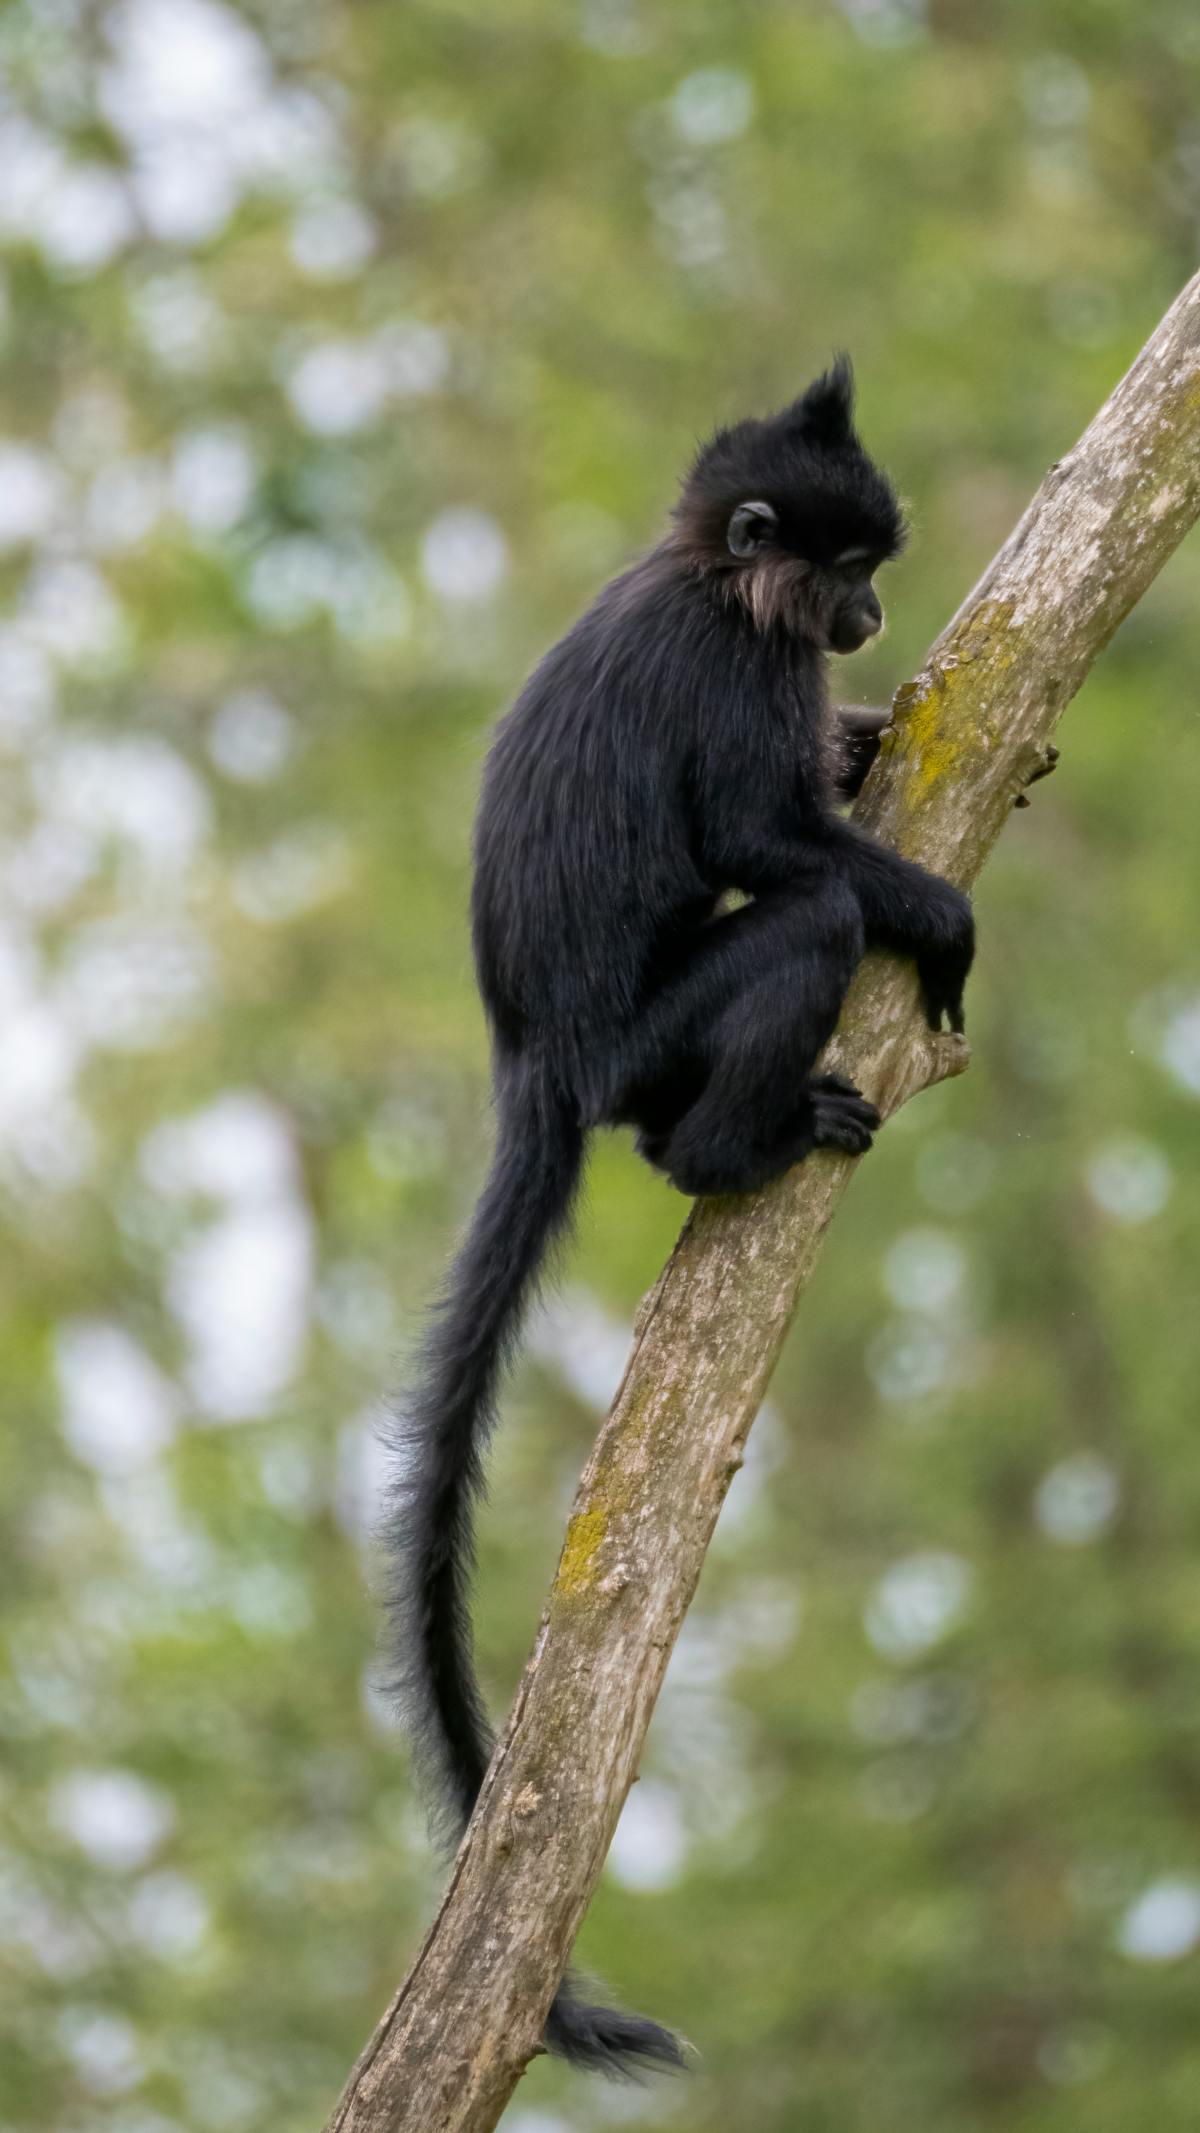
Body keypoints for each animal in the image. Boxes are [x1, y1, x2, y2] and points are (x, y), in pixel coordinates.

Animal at [386, 358, 975, 2077]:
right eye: (846, 569)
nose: (867, 614)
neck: (718, 577)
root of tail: (539, 1060)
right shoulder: (738, 665)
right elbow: (762, 847)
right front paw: (941, 913)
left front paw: (868, 735)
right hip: (658, 1030)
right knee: (808, 915)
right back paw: (724, 1149)